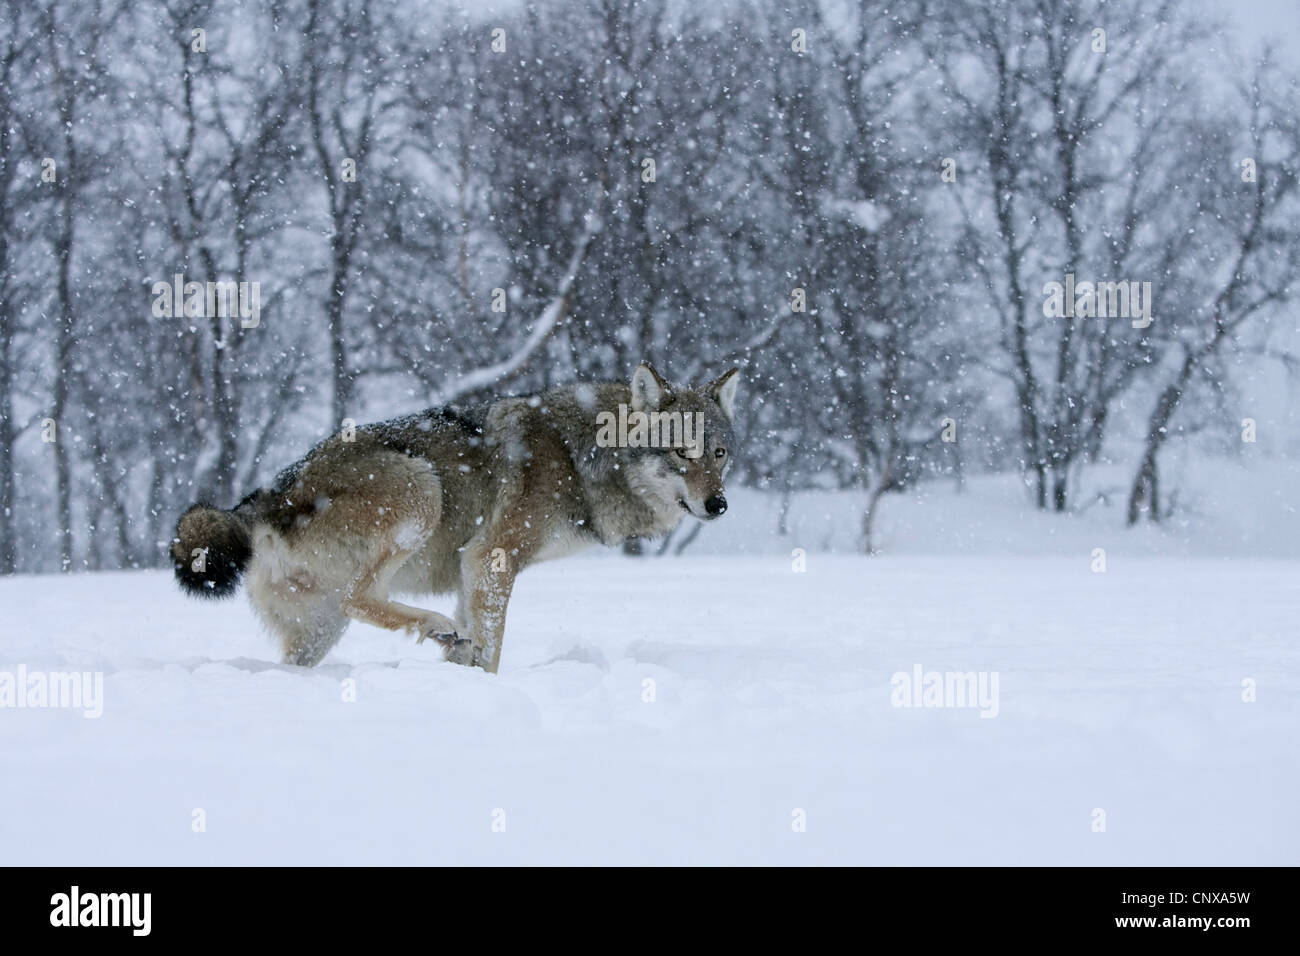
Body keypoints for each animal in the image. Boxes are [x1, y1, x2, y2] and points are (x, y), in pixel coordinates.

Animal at [170, 363, 739, 672]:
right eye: (683, 452)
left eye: (719, 454)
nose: (719, 505)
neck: (582, 458)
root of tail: (266, 496)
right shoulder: (493, 556)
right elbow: (490, 649)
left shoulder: (472, 565)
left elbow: (476, 645)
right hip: (422, 491)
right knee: (360, 595)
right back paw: (434, 625)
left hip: (319, 632)